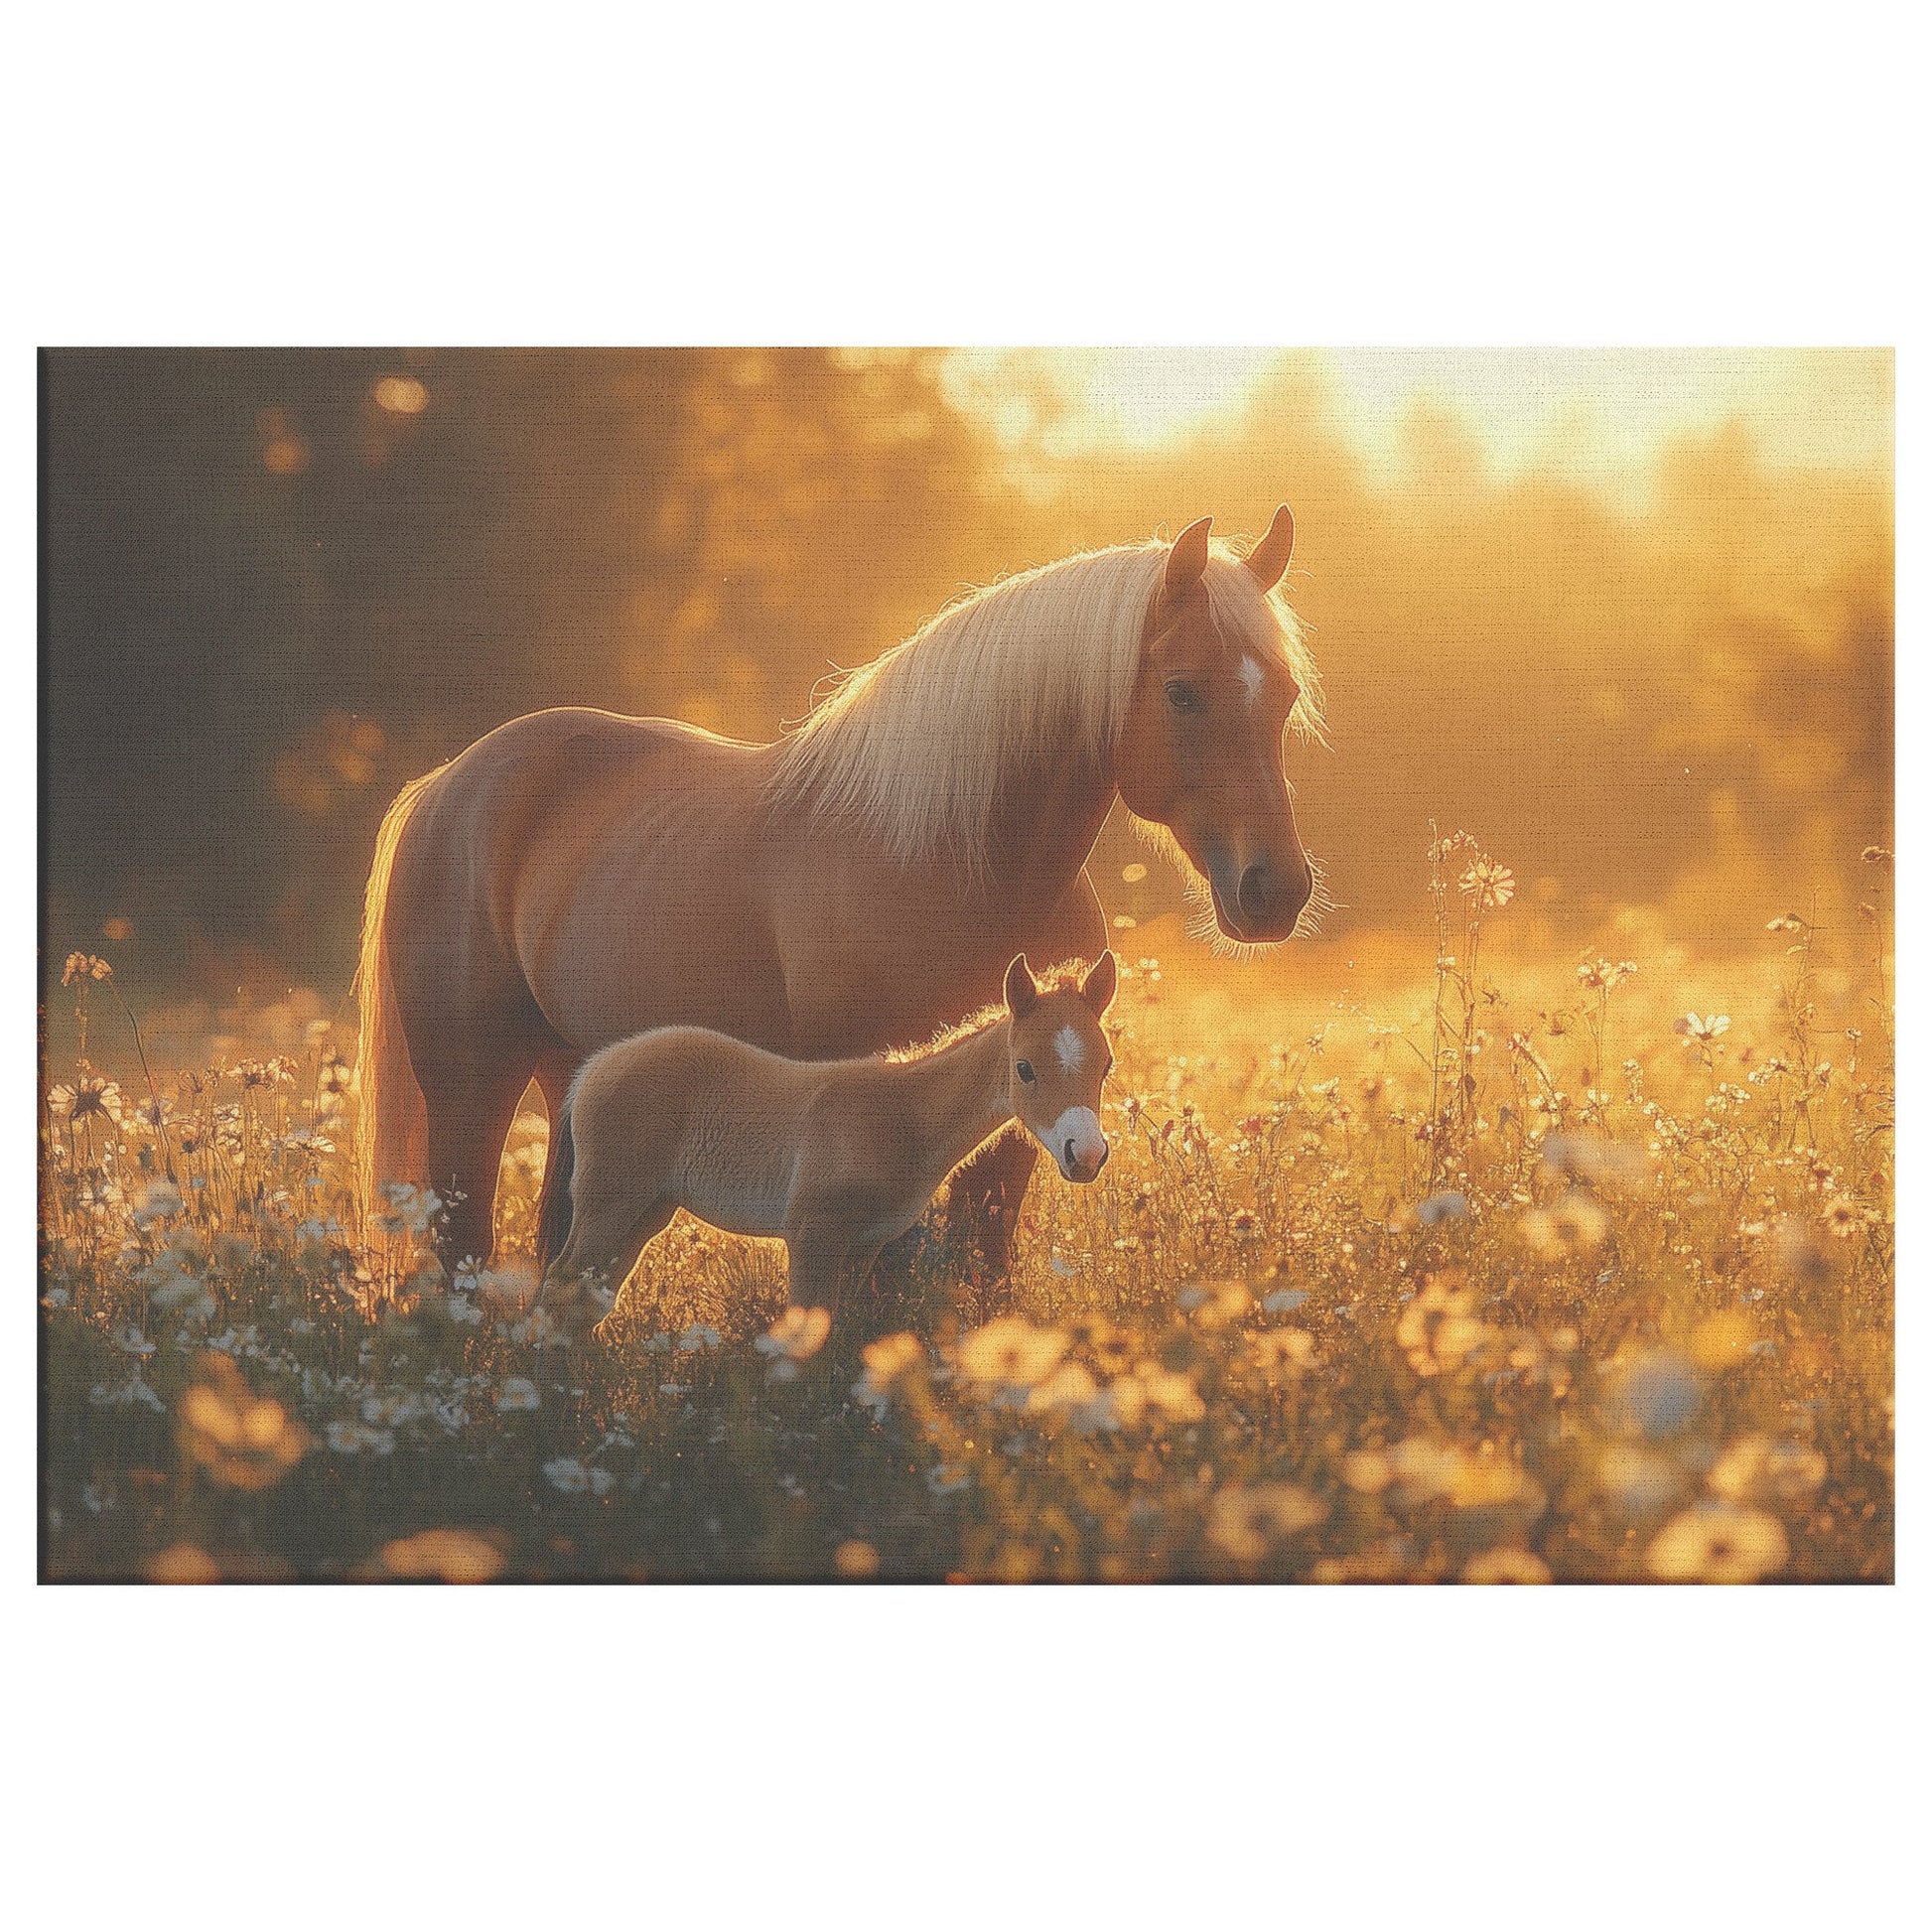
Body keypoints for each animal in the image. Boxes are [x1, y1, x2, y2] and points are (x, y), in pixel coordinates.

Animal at [356, 506, 1323, 1274]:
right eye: (1183, 693)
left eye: (1282, 694)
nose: (1274, 890)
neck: (957, 861)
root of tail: (447, 783)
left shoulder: (1022, 1120)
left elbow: (979, 1278)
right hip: (471, 1086)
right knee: (463, 1246)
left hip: (574, 1077)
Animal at [536, 952, 1116, 1326]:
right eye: (1025, 1069)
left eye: (1106, 1064)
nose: (1084, 1155)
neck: (899, 1118)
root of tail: (591, 1070)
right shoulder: (812, 1234)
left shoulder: (862, 1246)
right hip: (608, 1204)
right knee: (559, 1289)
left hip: (647, 1210)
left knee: (587, 1300)